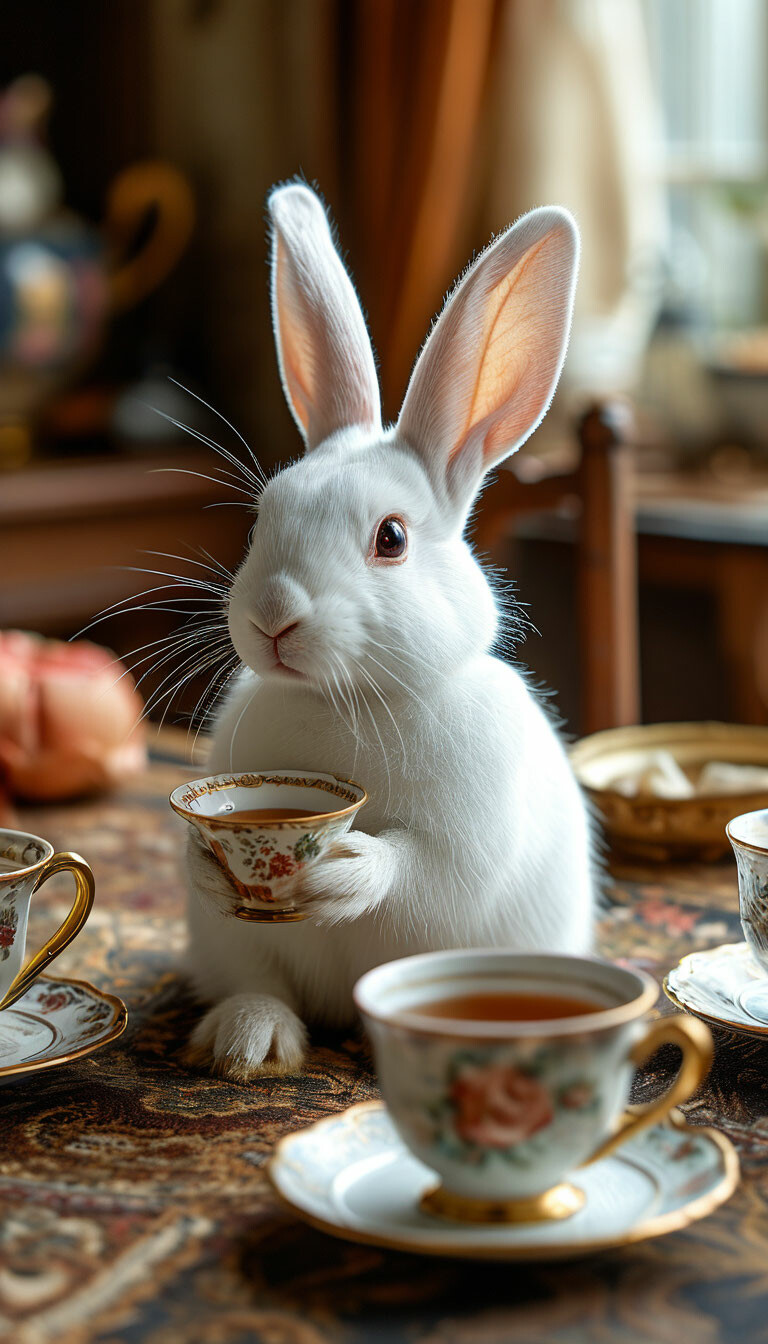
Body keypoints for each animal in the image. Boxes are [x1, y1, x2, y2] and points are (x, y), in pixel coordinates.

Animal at [183, 181, 595, 1082]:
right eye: (264, 516)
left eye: (392, 538)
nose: (272, 616)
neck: (344, 699)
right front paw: (209, 868)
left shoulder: (463, 846)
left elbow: (418, 871)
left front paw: (342, 875)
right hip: (234, 951)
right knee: (256, 984)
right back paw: (248, 1044)